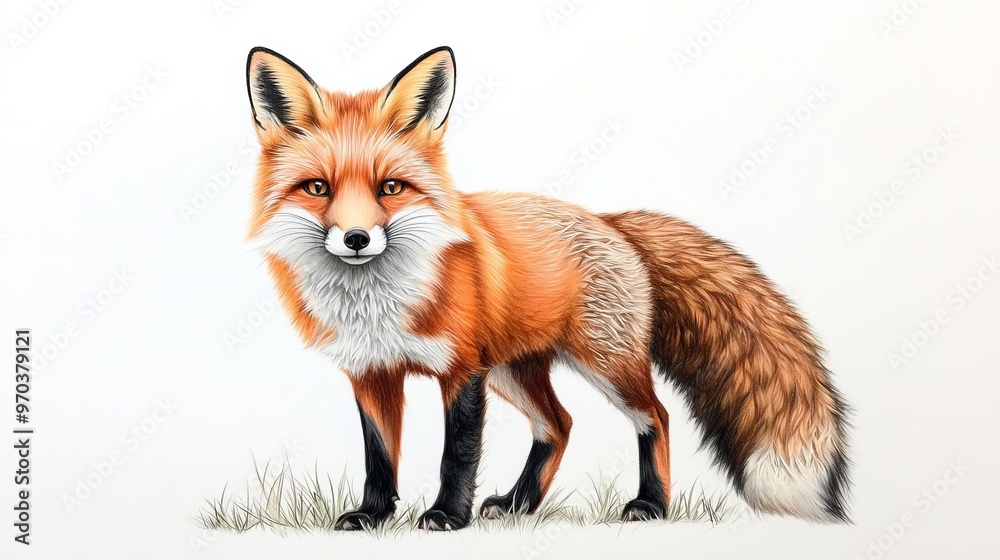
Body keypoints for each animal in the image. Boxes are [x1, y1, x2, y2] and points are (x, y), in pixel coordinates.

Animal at [244, 45, 851, 531]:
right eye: (318, 188)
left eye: (390, 188)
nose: (356, 238)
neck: (376, 304)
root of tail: (610, 221)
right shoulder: (372, 373)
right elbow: (379, 458)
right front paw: (371, 516)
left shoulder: (463, 370)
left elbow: (456, 454)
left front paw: (447, 516)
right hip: (514, 372)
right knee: (559, 426)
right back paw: (519, 505)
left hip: (601, 364)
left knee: (655, 416)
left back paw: (651, 506)